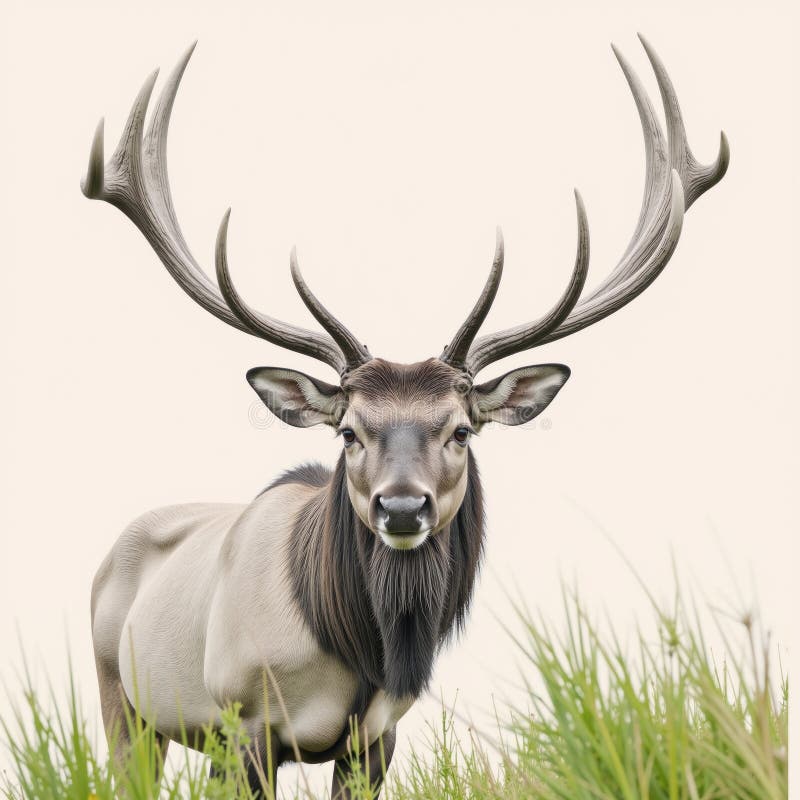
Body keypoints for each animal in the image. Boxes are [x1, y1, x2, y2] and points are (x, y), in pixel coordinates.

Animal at [84, 35, 728, 799]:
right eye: (348, 431)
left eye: (460, 430)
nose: (400, 507)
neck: (358, 658)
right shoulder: (244, 719)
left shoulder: (377, 737)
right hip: (122, 697)